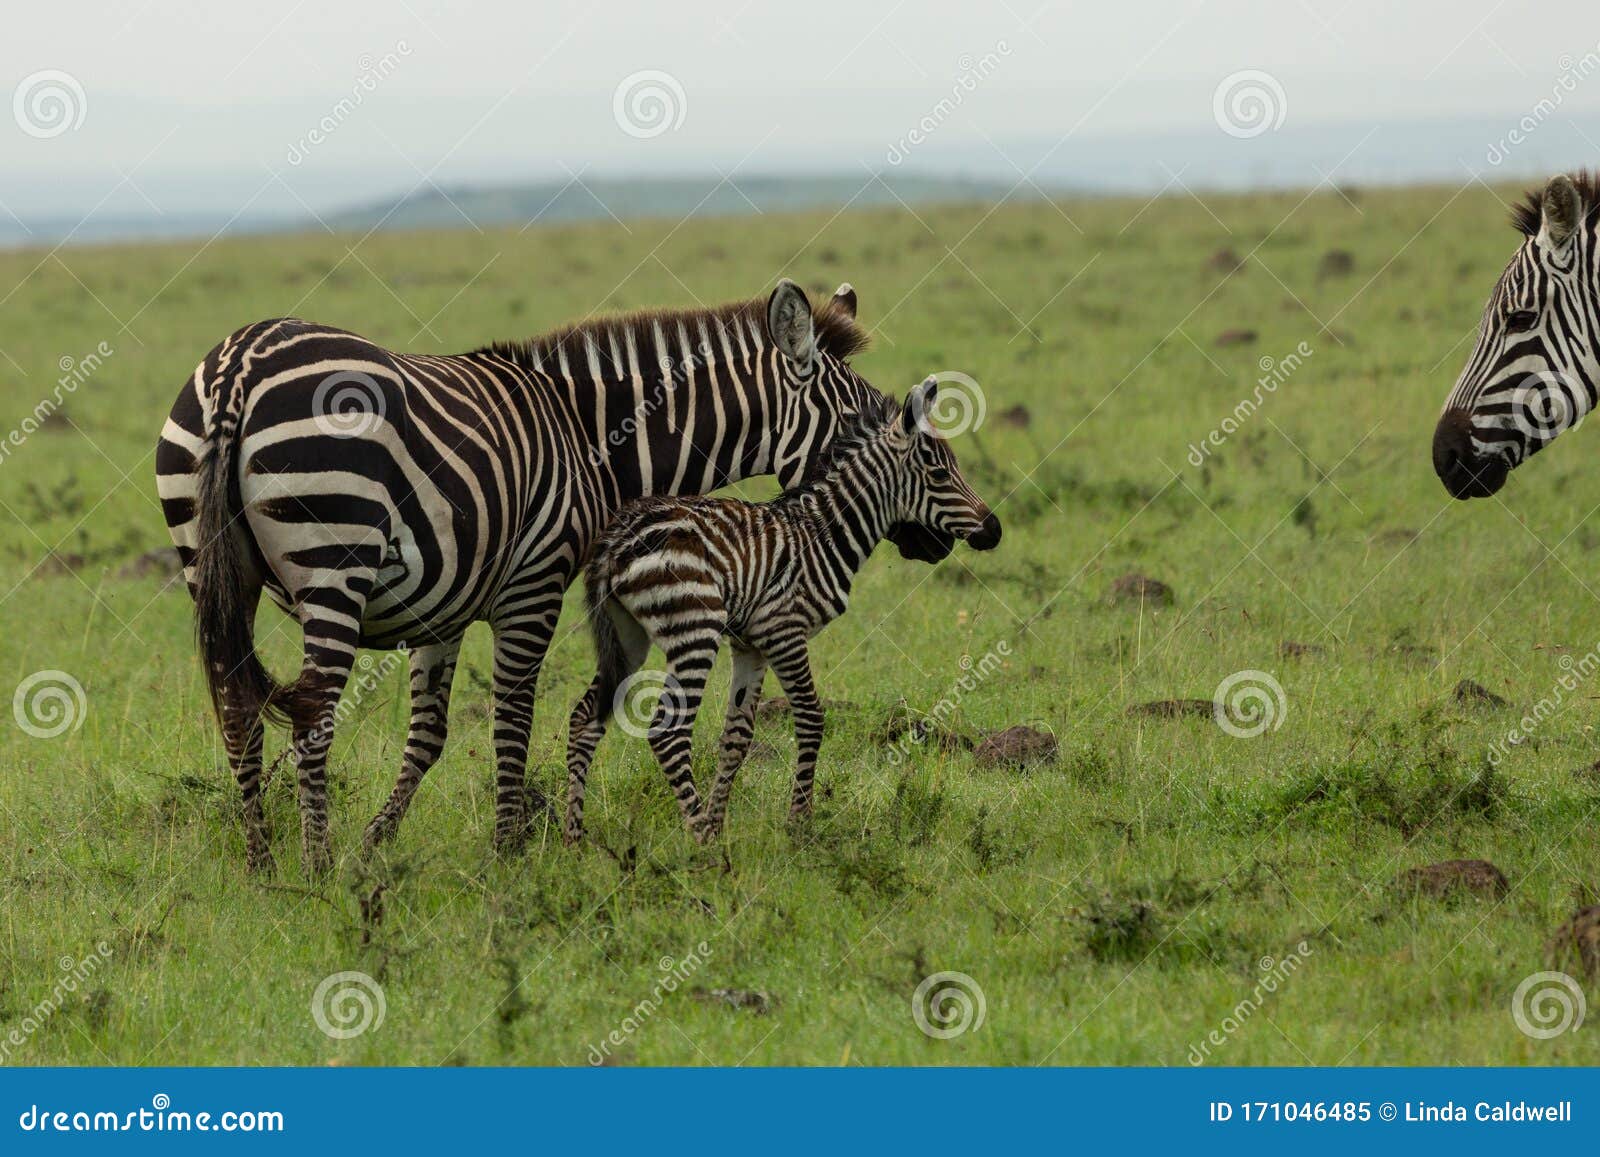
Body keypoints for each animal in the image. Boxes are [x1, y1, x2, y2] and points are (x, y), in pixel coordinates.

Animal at [563, 376, 1001, 844]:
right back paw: (701, 841)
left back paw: (574, 838)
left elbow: (737, 736)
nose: (994, 530)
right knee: (668, 730)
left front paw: (721, 822)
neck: (824, 533)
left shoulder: (751, 645)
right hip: (695, 630)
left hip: (626, 636)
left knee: (585, 719)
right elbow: (811, 718)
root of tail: (615, 541)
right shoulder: (784, 631)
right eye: (939, 473)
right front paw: (797, 824)